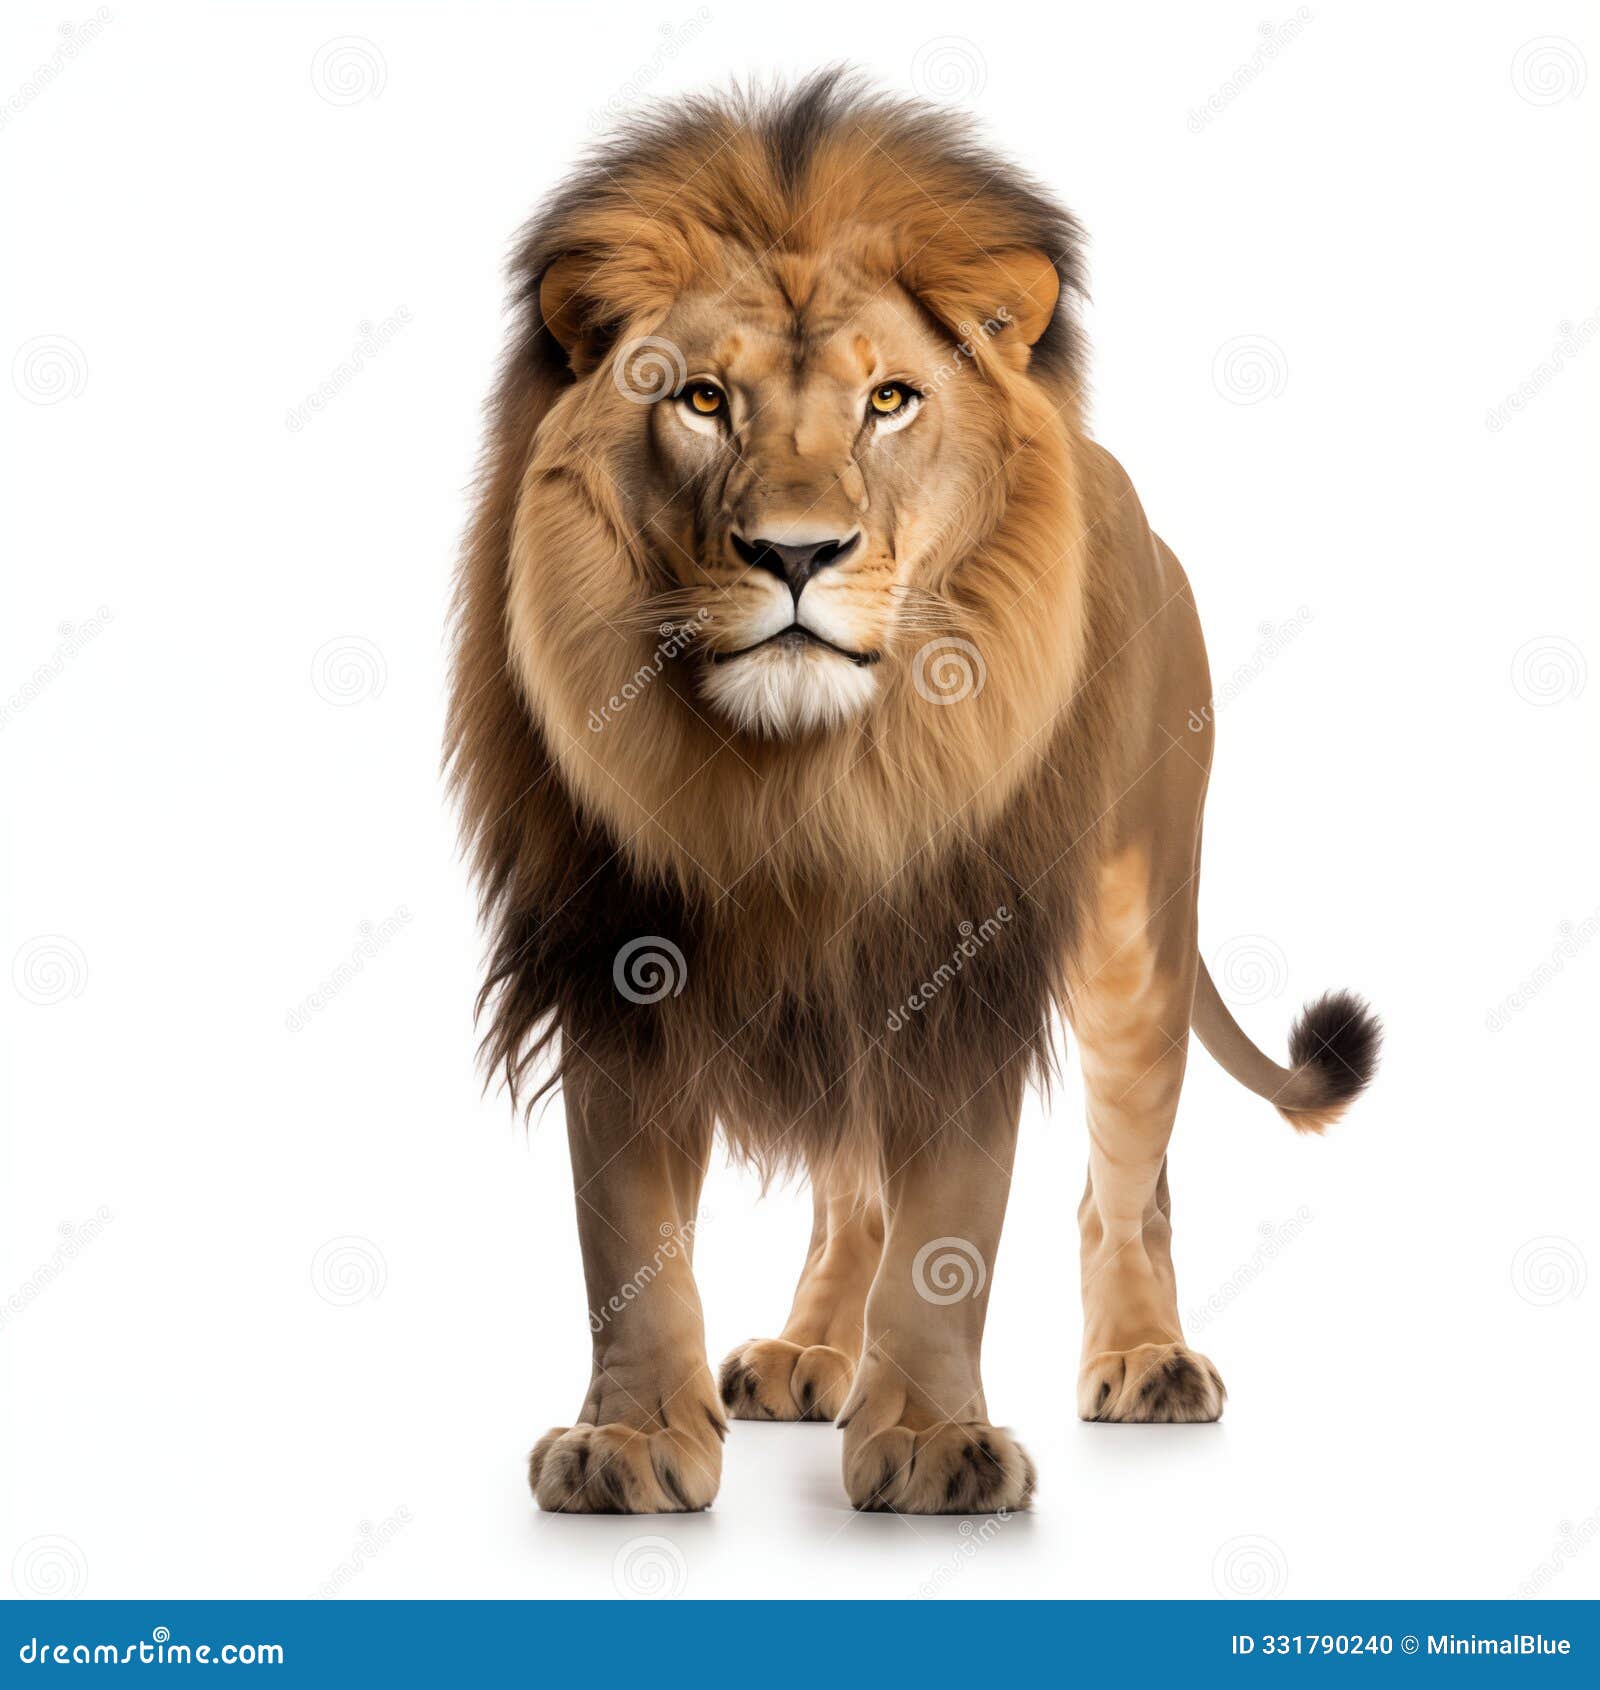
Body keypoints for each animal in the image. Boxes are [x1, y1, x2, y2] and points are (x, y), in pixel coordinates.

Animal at [446, 72, 1380, 1516]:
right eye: (700, 399)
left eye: (889, 399)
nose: (795, 552)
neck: (800, 782)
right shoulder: (613, 952)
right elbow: (628, 1233)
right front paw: (633, 1439)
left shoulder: (964, 961)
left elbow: (953, 1220)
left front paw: (938, 1442)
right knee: (853, 1194)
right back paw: (806, 1353)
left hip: (1135, 932)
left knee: (1124, 1182)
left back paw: (1148, 1362)